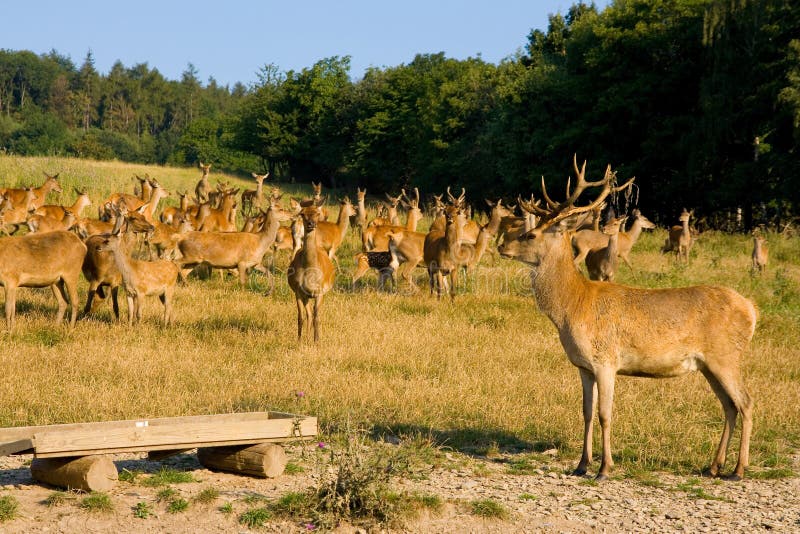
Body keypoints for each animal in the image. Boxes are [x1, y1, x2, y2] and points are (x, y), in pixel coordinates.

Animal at [287, 199, 336, 342]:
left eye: (317, 213)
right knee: (308, 314)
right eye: (302, 214)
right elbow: (301, 317)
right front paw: (299, 340)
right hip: (305, 296)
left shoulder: (320, 292)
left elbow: (316, 317)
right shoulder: (298, 290)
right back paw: (306, 337)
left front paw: (317, 340)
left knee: (312, 314)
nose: (311, 224)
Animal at [498, 155, 756, 481]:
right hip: (709, 364)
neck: (573, 307)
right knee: (729, 406)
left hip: (726, 356)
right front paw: (581, 465)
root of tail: (752, 310)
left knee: (746, 403)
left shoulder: (606, 360)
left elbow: (605, 414)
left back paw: (738, 469)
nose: (501, 246)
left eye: (530, 235)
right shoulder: (583, 366)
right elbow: (586, 413)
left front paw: (604, 469)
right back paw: (713, 466)